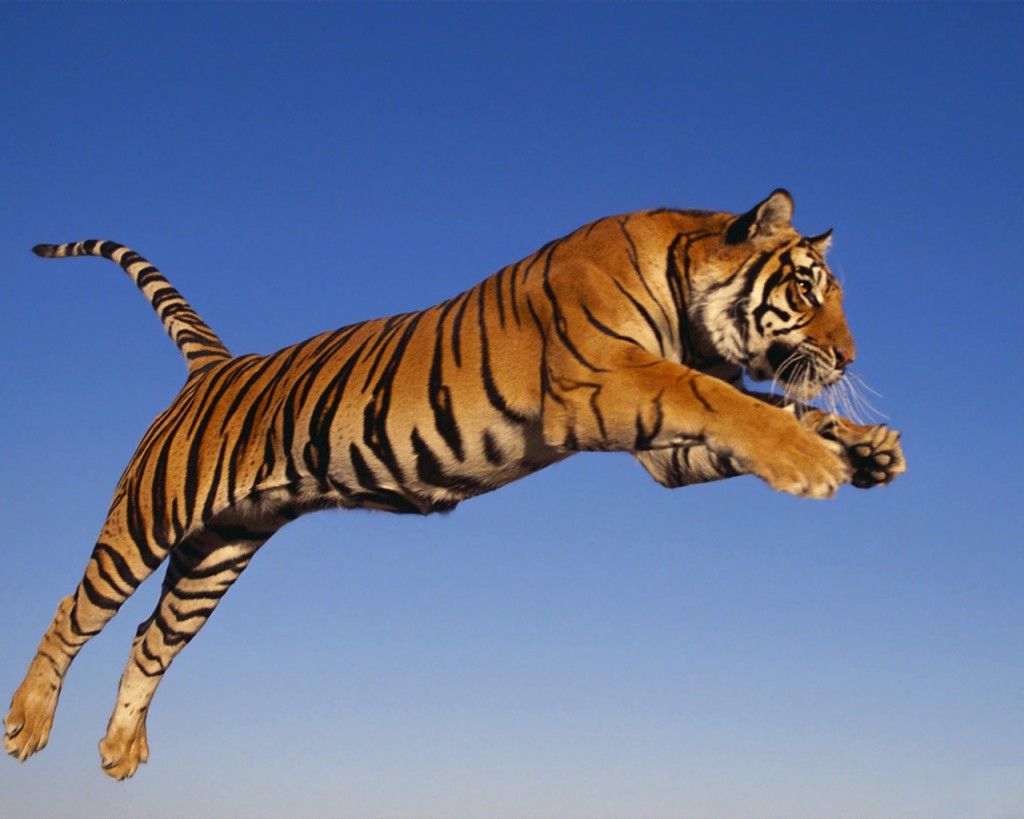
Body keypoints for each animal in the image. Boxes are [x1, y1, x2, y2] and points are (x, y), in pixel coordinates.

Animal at [4, 189, 905, 779]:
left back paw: (119, 751)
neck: (686, 302)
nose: (850, 357)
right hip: (148, 517)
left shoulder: (660, 450)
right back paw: (26, 723)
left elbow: (770, 407)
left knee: (150, 637)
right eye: (805, 290)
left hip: (219, 550)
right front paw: (813, 462)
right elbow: (731, 401)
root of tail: (215, 365)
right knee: (74, 609)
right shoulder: (610, 384)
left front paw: (867, 448)